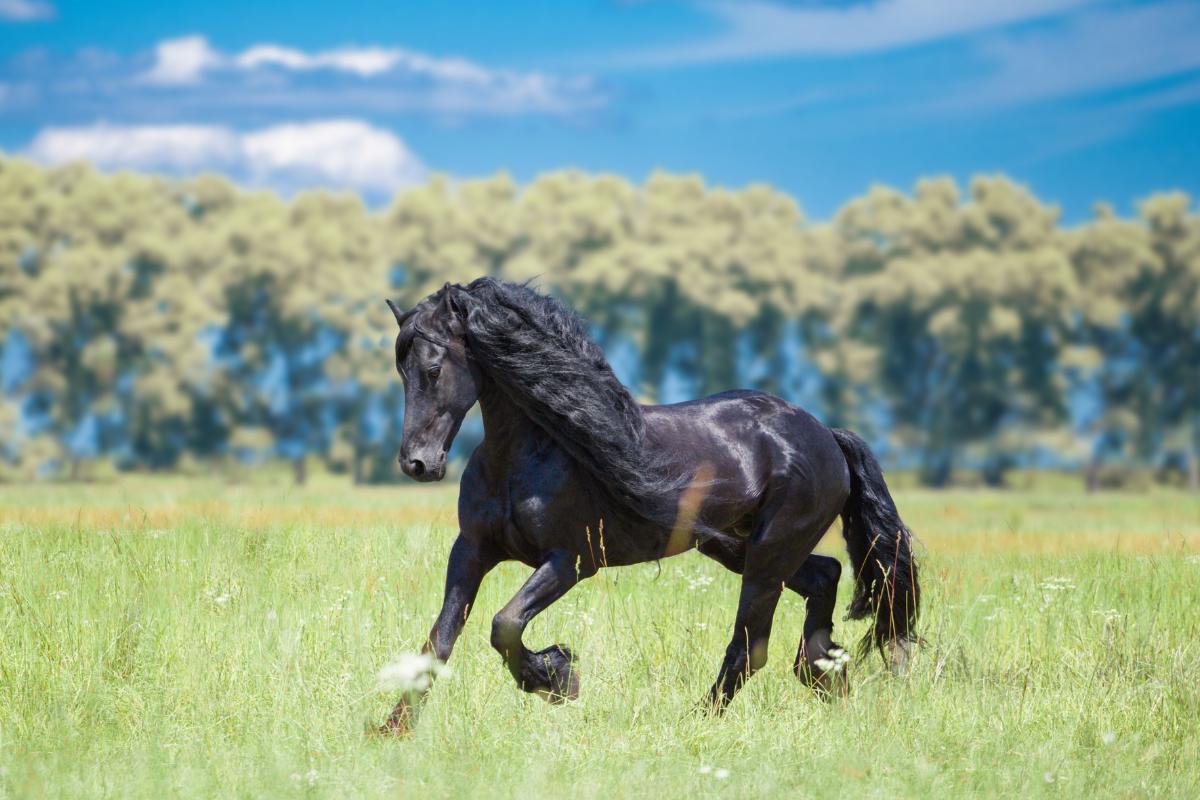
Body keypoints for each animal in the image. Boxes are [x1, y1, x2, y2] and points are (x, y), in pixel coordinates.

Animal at [380, 278, 919, 733]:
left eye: (433, 370)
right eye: (400, 370)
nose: (418, 463)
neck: (530, 454)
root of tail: (827, 434)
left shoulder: (571, 561)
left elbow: (505, 625)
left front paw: (558, 677)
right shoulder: (471, 551)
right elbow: (440, 640)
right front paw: (393, 729)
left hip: (769, 555)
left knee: (750, 644)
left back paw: (700, 720)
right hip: (741, 548)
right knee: (825, 575)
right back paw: (825, 675)